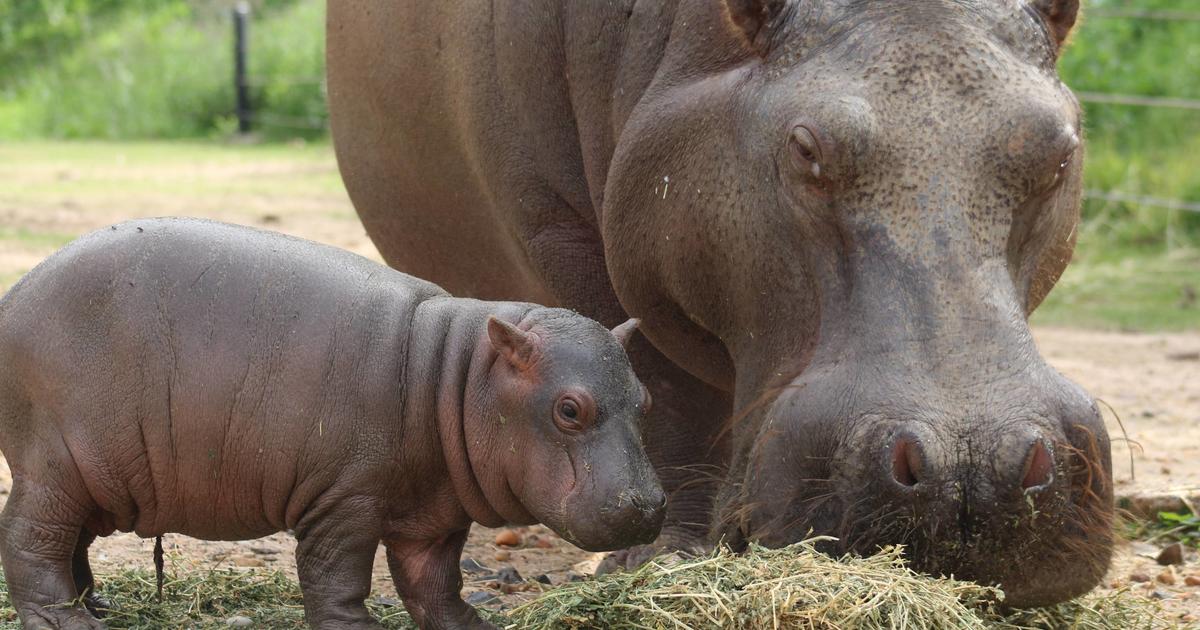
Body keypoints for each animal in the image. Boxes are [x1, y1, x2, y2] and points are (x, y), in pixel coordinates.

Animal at [0, 218, 664, 630]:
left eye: (647, 398)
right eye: (569, 409)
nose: (650, 503)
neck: (455, 375)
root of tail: (13, 295)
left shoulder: (435, 513)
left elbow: (434, 584)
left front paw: (474, 624)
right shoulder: (345, 498)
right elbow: (335, 574)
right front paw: (357, 626)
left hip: (98, 480)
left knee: (70, 544)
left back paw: (99, 607)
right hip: (56, 464)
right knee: (31, 537)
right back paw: (69, 619)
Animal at [327, 0, 1112, 607]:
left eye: (1060, 151)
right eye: (804, 147)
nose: (971, 469)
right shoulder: (568, 233)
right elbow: (662, 394)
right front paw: (665, 556)